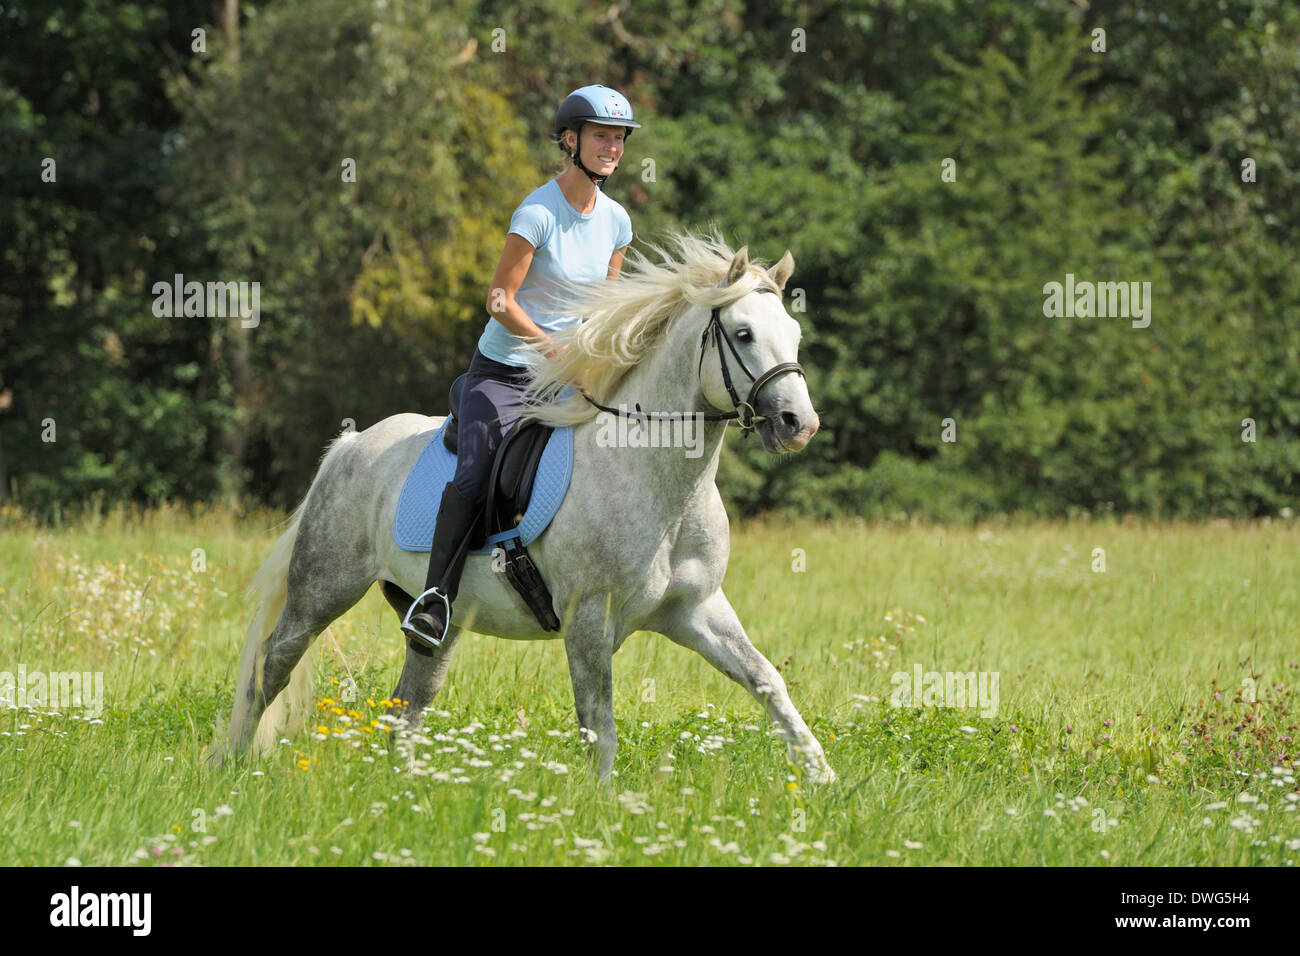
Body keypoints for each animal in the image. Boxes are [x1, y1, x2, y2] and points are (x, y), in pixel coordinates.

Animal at [219, 230, 837, 785]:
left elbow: (766, 681)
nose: (799, 425)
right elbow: (599, 725)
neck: (661, 484)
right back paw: (232, 765)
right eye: (744, 333)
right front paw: (602, 807)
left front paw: (821, 778)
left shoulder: (697, 609)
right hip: (322, 590)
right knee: (271, 667)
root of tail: (349, 447)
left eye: (794, 333)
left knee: (407, 705)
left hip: (433, 625)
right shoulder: (588, 619)